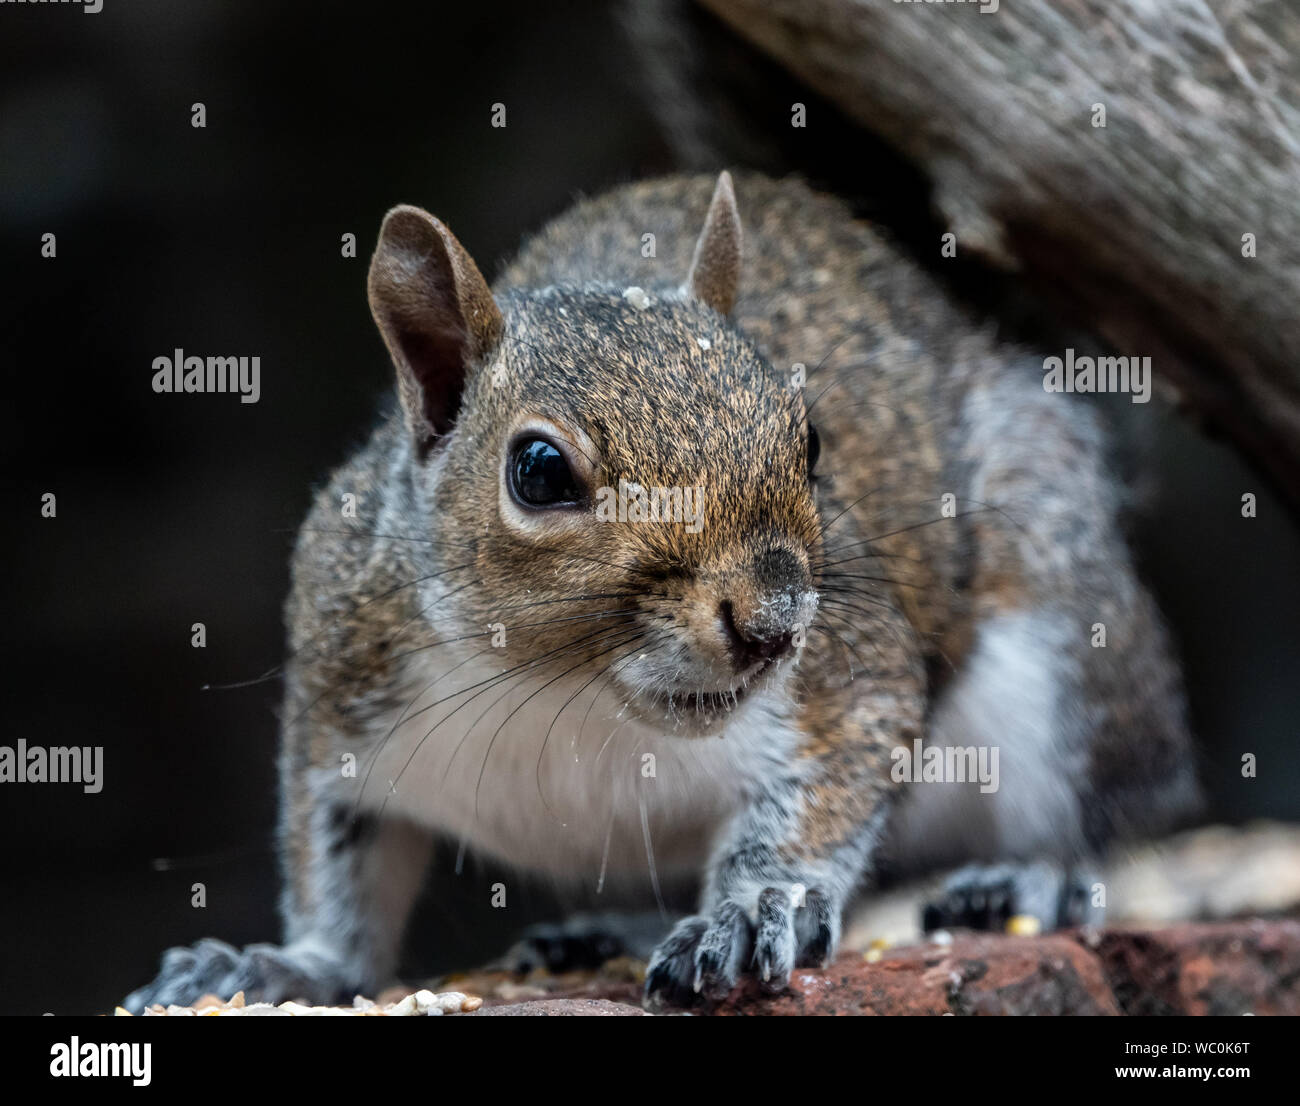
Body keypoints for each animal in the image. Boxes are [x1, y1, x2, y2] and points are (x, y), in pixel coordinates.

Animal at [126, 171, 1198, 1011]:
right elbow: (338, 866)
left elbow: (828, 780)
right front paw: (289, 964)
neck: (557, 688)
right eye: (540, 472)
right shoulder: (338, 686)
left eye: (810, 441)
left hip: (1061, 637)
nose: (773, 624)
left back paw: (1031, 878)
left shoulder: (853, 671)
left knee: (1105, 811)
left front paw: (756, 907)